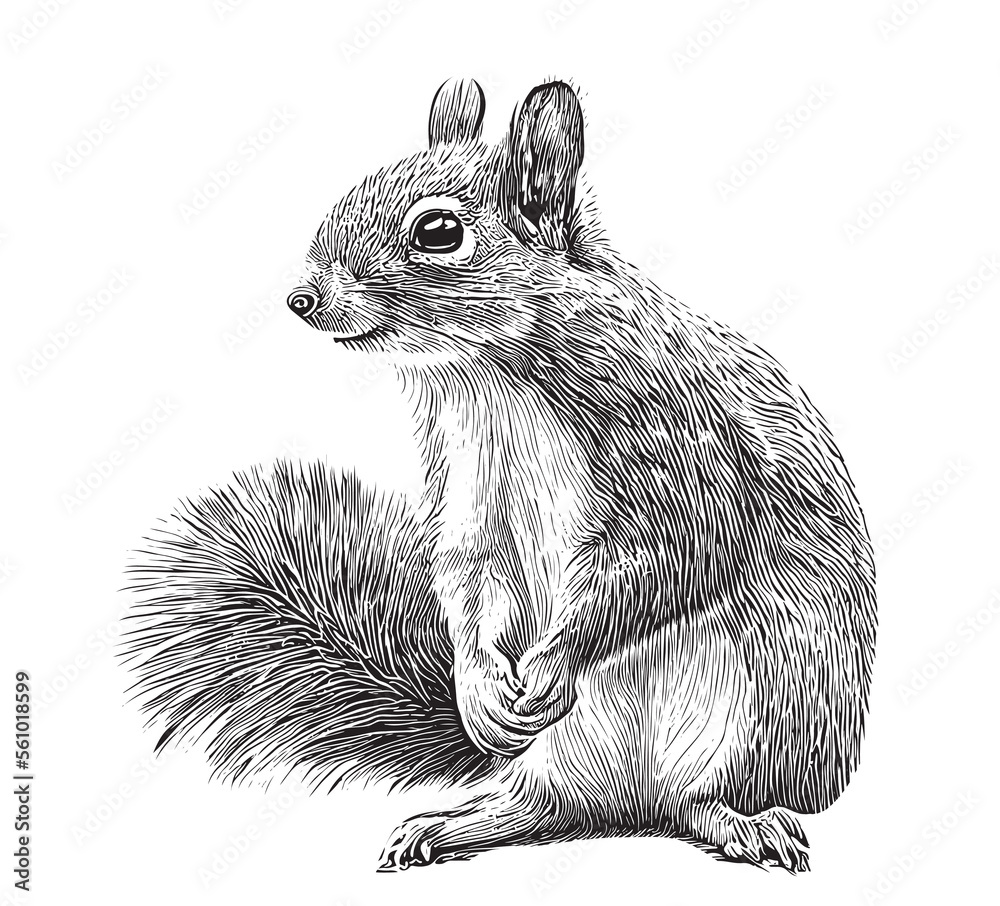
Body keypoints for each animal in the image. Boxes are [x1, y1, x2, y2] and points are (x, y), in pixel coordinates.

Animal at [123, 78, 876, 874]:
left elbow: (663, 555)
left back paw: (745, 824)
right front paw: (480, 690)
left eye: (438, 231)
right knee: (546, 806)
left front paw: (552, 663)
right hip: (574, 757)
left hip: (763, 710)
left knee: (688, 801)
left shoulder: (681, 450)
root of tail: (627, 796)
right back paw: (443, 826)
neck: (487, 373)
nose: (302, 299)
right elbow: (464, 568)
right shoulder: (462, 482)